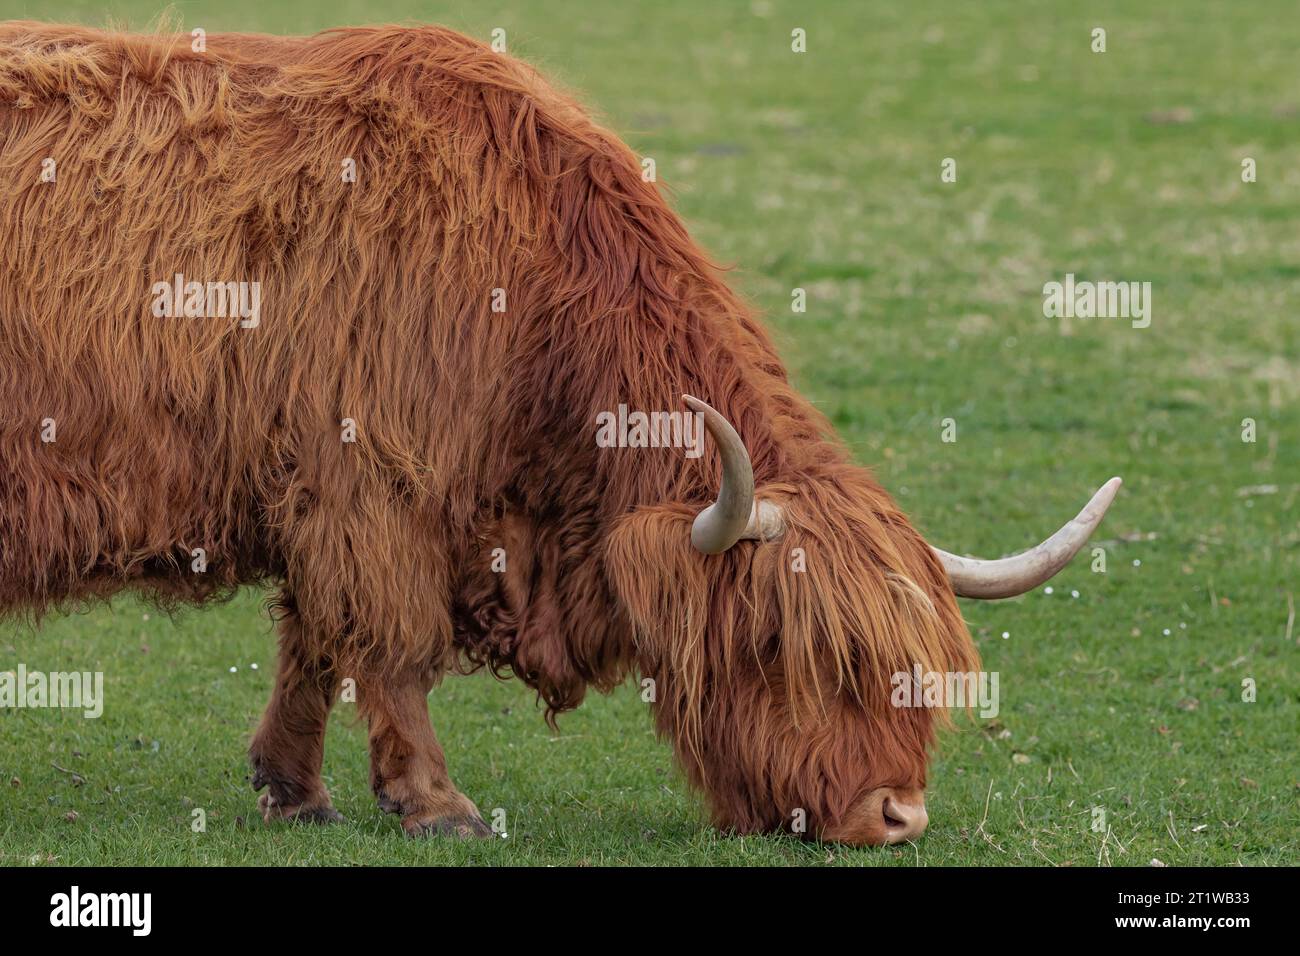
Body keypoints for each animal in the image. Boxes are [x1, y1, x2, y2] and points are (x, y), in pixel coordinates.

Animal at [0, 22, 1119, 845]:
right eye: (783, 647)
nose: (896, 815)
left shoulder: (317, 487)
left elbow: (316, 641)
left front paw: (293, 787)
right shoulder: (370, 483)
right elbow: (389, 643)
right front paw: (435, 803)